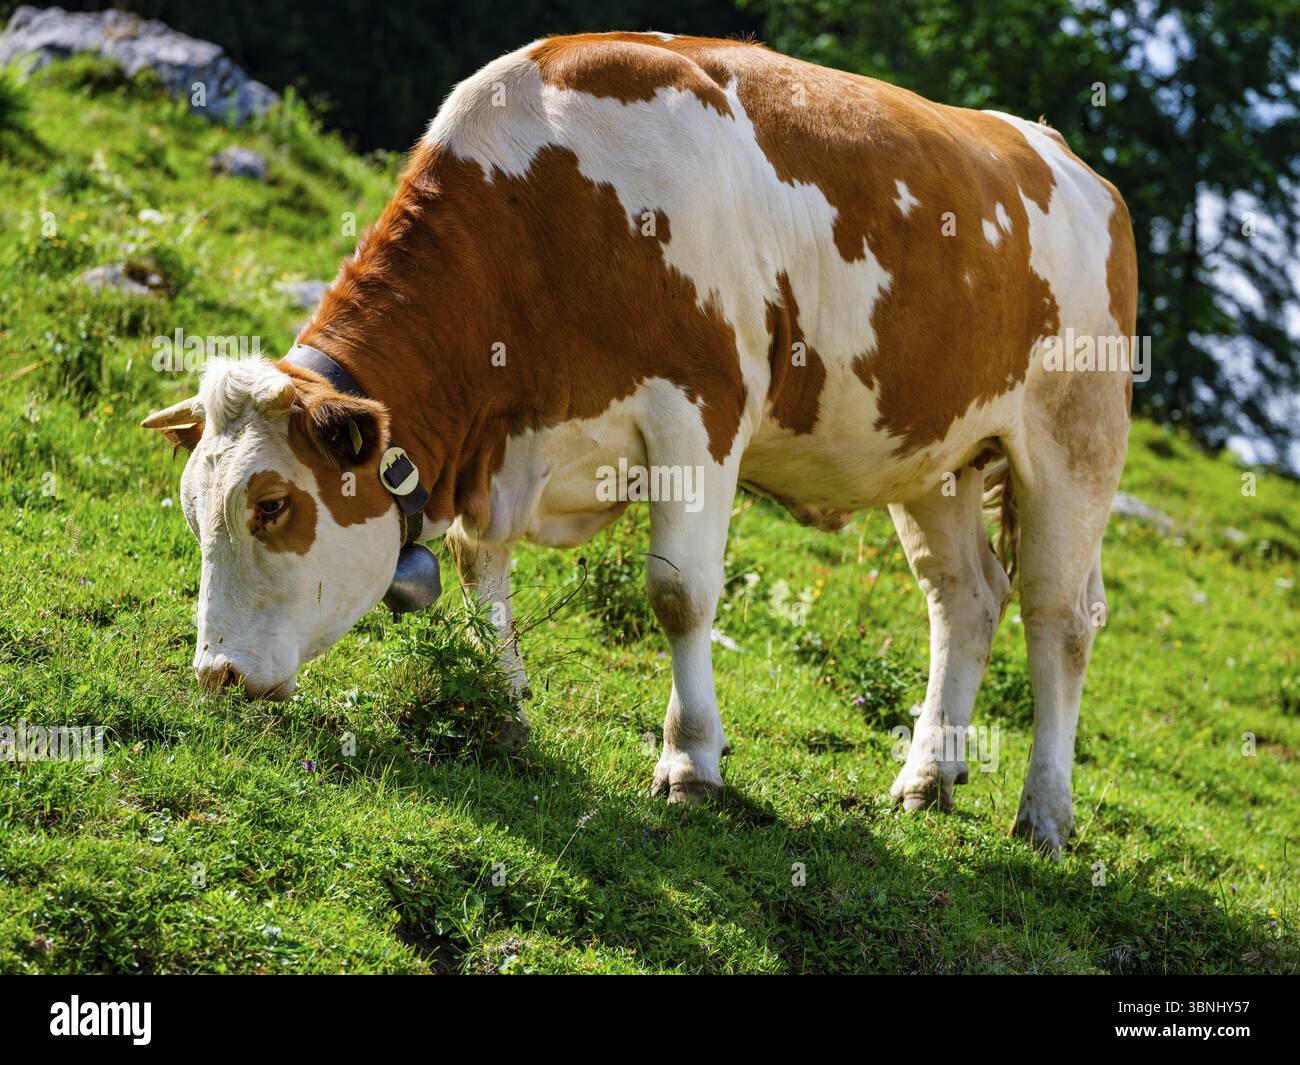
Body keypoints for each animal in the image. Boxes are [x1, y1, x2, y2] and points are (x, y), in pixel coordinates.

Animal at [142, 33, 1136, 856]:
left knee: (1059, 616)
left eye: (273, 505)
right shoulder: (508, 448)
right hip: (939, 452)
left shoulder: (699, 414)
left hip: (1075, 435)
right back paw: (929, 776)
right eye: (194, 510)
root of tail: (1070, 160)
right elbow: (478, 568)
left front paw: (691, 762)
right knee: (965, 597)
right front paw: (502, 708)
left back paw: (1045, 813)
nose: (217, 673)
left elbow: (678, 594)